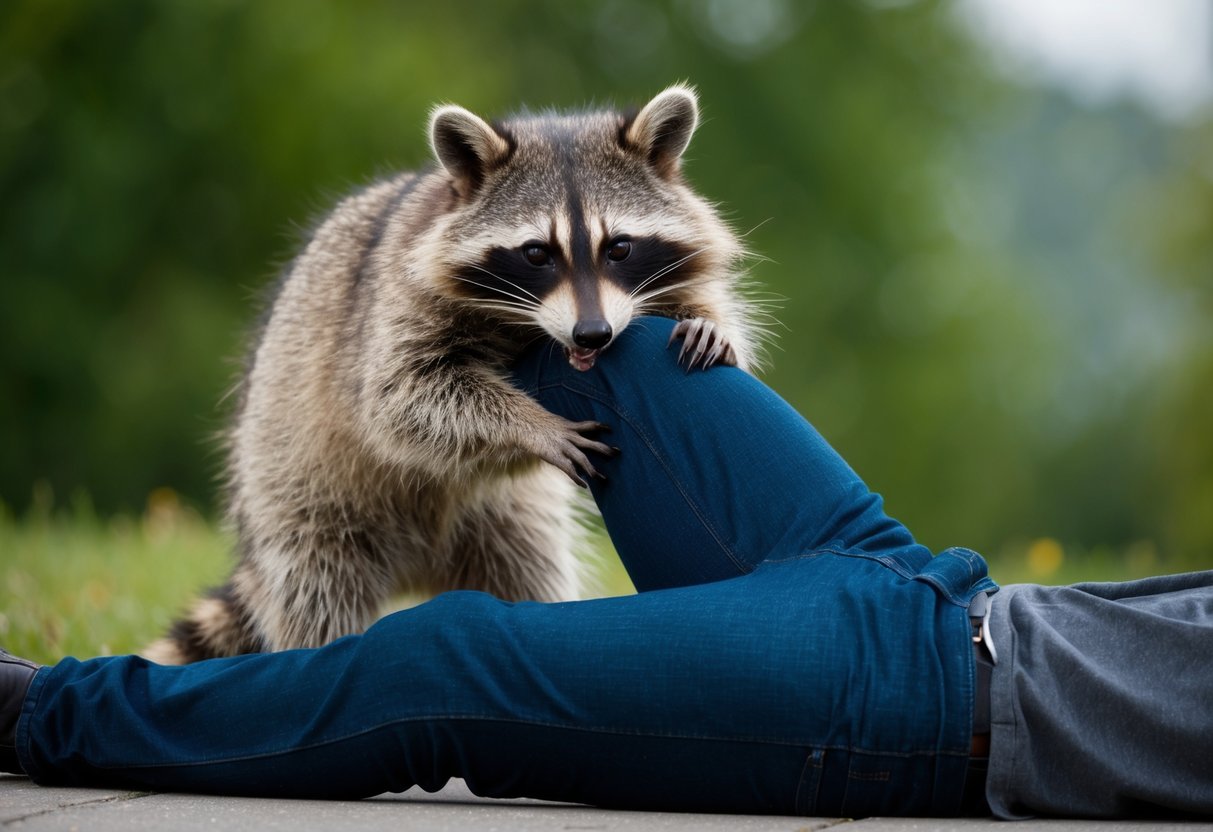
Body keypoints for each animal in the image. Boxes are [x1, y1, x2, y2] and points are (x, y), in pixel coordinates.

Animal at [144, 84, 765, 664]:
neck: (528, 325)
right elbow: (404, 397)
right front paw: (528, 423)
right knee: (318, 588)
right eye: (536, 253)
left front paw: (714, 325)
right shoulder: (396, 302)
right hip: (292, 484)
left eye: (620, 248)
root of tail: (418, 566)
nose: (593, 335)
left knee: (527, 574)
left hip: (506, 525)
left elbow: (700, 303)